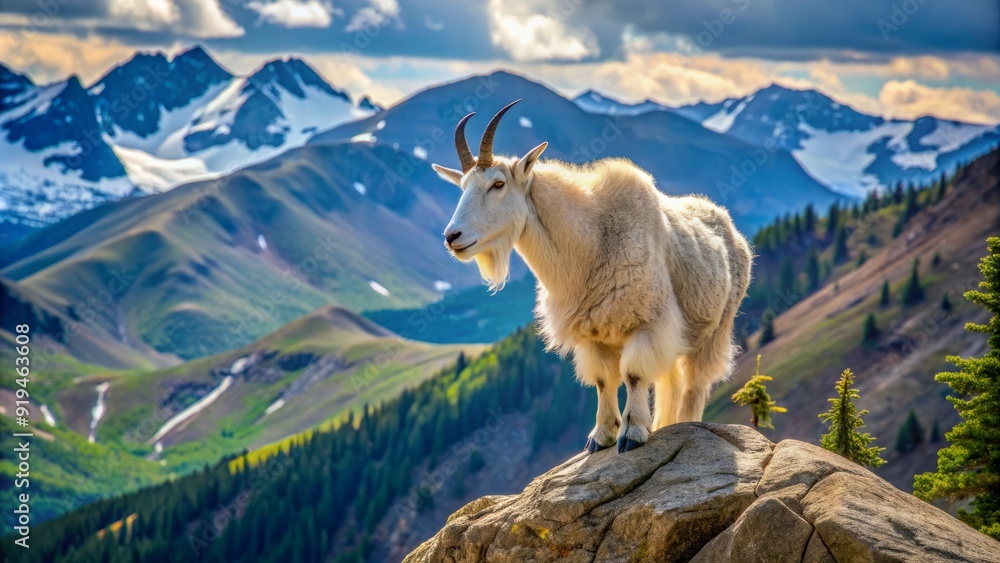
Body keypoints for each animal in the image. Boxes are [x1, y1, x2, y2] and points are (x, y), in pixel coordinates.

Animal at [433, 100, 753, 453]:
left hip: (714, 331)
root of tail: (734, 233)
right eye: (462, 187)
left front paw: (631, 433)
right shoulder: (593, 335)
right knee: (672, 381)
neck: (592, 244)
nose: (452, 237)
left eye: (498, 184)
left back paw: (687, 423)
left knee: (695, 385)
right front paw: (600, 436)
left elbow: (634, 374)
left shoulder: (649, 323)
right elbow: (603, 380)